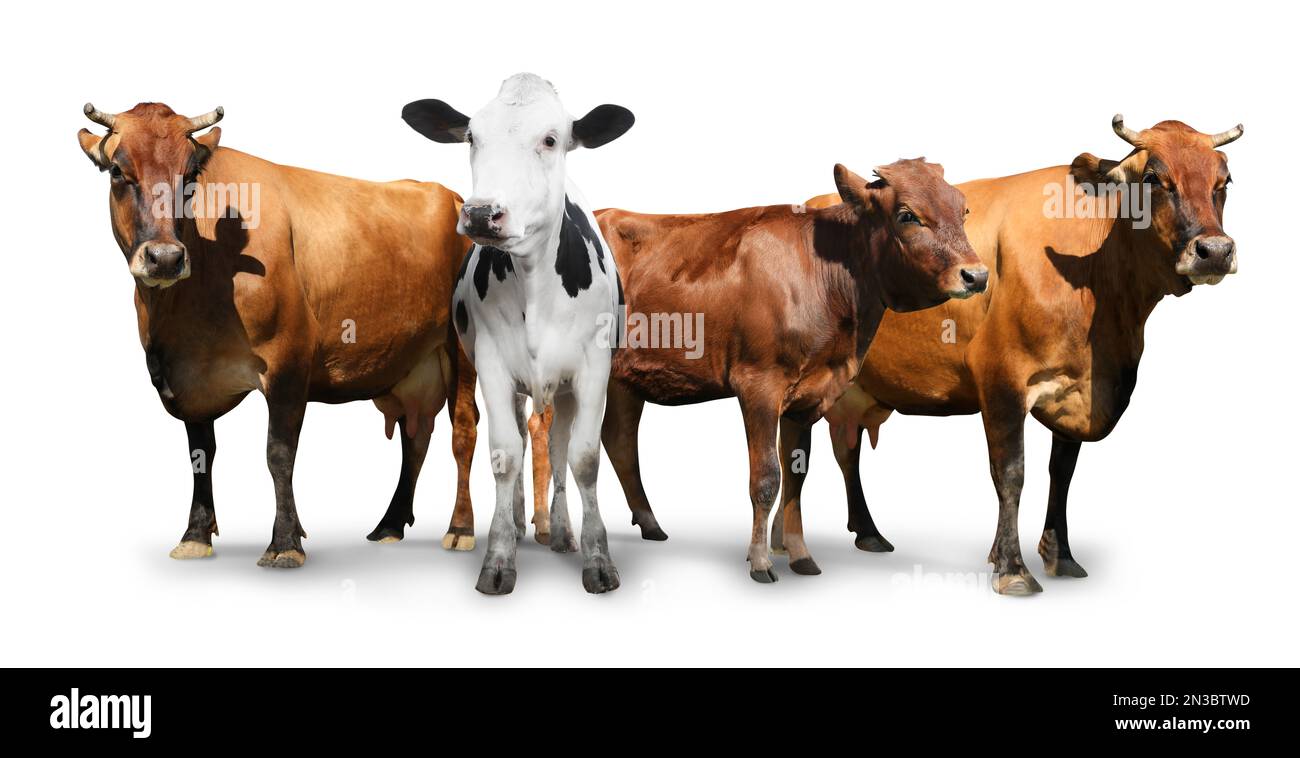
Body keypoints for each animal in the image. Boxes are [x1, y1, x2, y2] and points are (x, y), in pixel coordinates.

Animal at [77, 102, 479, 567]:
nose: (165, 258)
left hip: (461, 347)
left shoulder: (288, 362)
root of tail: (451, 195)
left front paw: (285, 541)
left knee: (464, 430)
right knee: (416, 437)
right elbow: (201, 455)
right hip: (410, 363)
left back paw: (460, 529)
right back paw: (390, 525)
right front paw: (195, 535)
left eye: (191, 175)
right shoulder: (185, 381)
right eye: (117, 171)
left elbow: (278, 454)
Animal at [401, 73, 635, 595]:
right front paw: (499, 555)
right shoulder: (491, 365)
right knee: (526, 441)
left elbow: (584, 458)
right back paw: (522, 519)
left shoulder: (593, 370)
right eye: (472, 136)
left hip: (563, 390)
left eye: (550, 139)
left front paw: (598, 558)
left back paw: (562, 531)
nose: (482, 213)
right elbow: (505, 454)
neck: (534, 287)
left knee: (558, 445)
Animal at [596, 159, 988, 582]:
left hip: (623, 378)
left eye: (963, 209)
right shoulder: (758, 384)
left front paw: (800, 554)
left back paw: (650, 523)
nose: (977, 275)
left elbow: (797, 472)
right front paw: (760, 560)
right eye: (907, 215)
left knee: (618, 440)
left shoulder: (809, 395)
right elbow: (767, 476)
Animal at [772, 115, 1244, 595]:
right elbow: (1011, 473)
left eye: (1224, 181)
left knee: (844, 450)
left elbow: (1062, 472)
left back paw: (863, 532)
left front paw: (1060, 555)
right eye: (1152, 178)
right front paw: (1012, 567)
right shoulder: (1000, 377)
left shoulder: (1077, 388)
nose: (1215, 251)